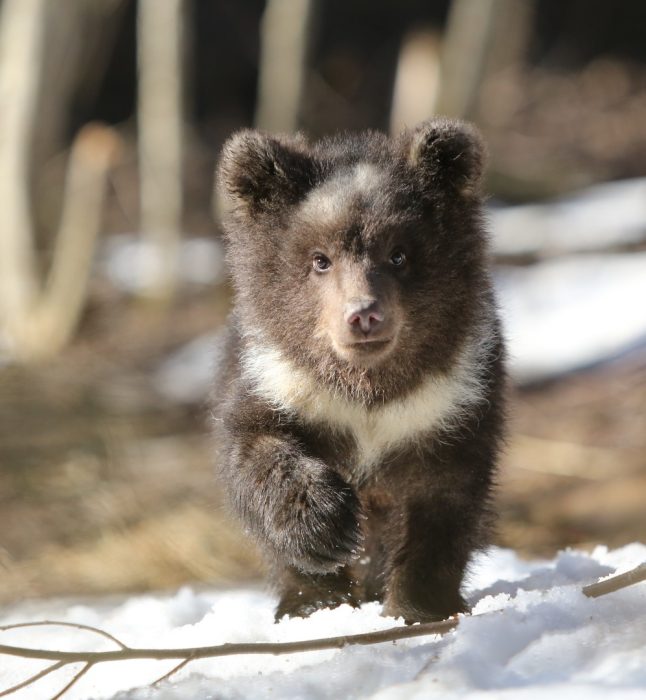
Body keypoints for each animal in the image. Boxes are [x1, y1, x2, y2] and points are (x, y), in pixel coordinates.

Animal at [211, 118, 506, 624]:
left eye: (398, 254)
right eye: (320, 259)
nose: (364, 314)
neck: (368, 392)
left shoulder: (450, 402)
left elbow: (446, 502)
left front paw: (418, 604)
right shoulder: (280, 383)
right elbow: (256, 450)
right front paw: (326, 526)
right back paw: (306, 603)